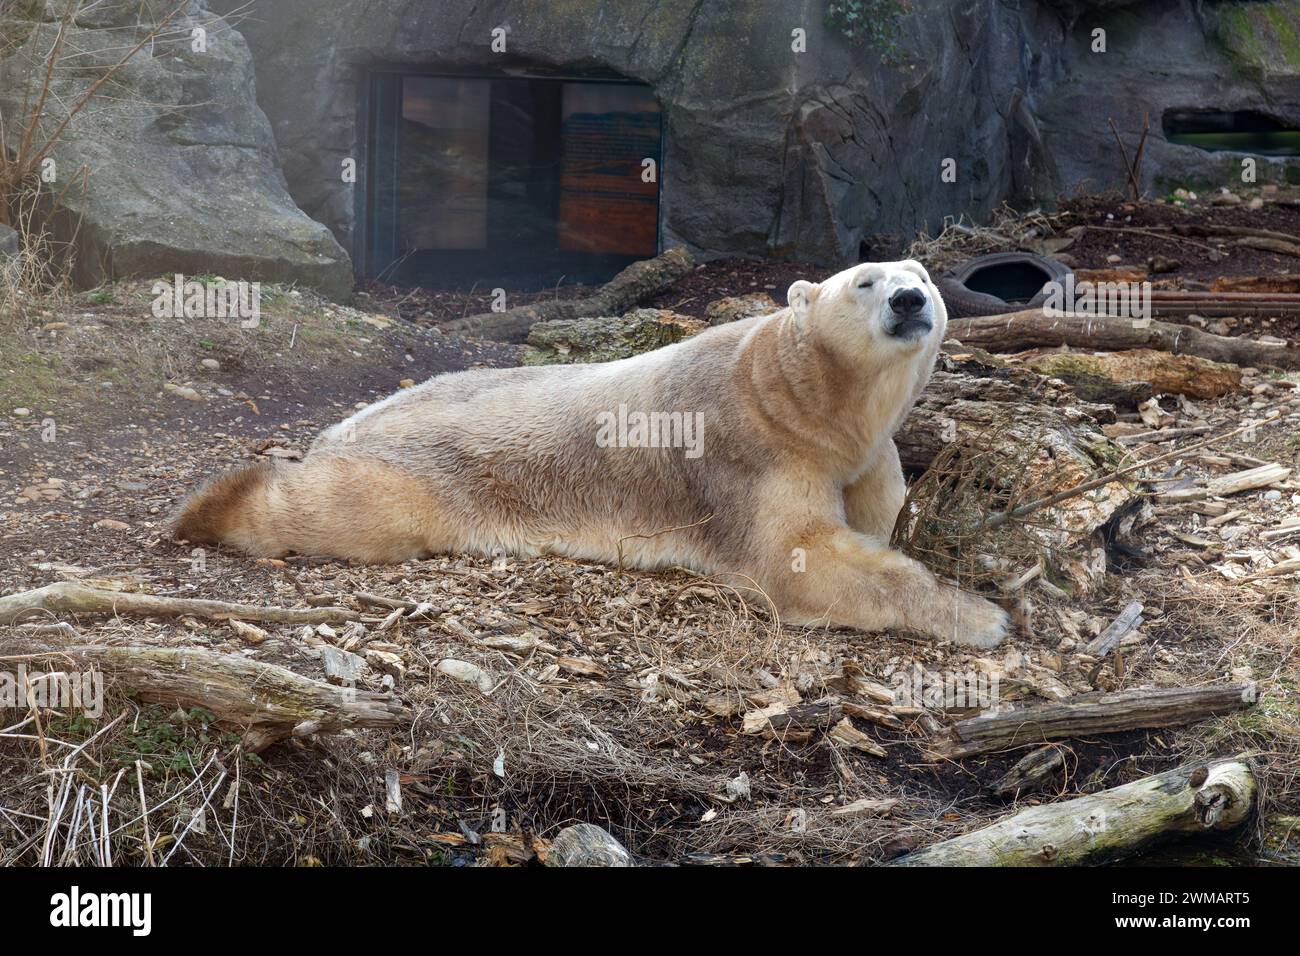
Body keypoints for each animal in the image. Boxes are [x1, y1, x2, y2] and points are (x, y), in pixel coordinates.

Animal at [173, 259, 1009, 648]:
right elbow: (799, 556)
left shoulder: (864, 455)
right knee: (346, 506)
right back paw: (207, 509)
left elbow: (884, 514)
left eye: (921, 276)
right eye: (866, 281)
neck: (800, 394)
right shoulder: (756, 447)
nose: (911, 299)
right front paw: (980, 614)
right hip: (421, 470)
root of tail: (346, 424)